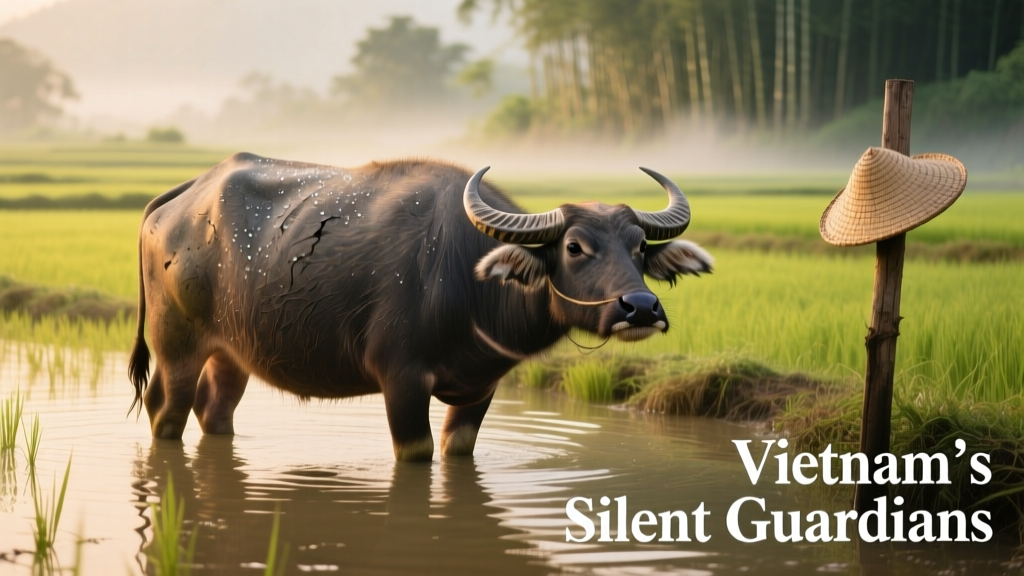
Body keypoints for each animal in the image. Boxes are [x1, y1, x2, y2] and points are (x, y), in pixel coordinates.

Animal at [128, 154, 713, 460]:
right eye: (574, 246)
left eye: (639, 247)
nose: (641, 308)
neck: (471, 284)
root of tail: (183, 197)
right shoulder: (401, 380)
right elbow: (417, 452)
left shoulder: (479, 389)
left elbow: (457, 450)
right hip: (175, 345)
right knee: (165, 409)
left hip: (233, 352)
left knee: (215, 409)